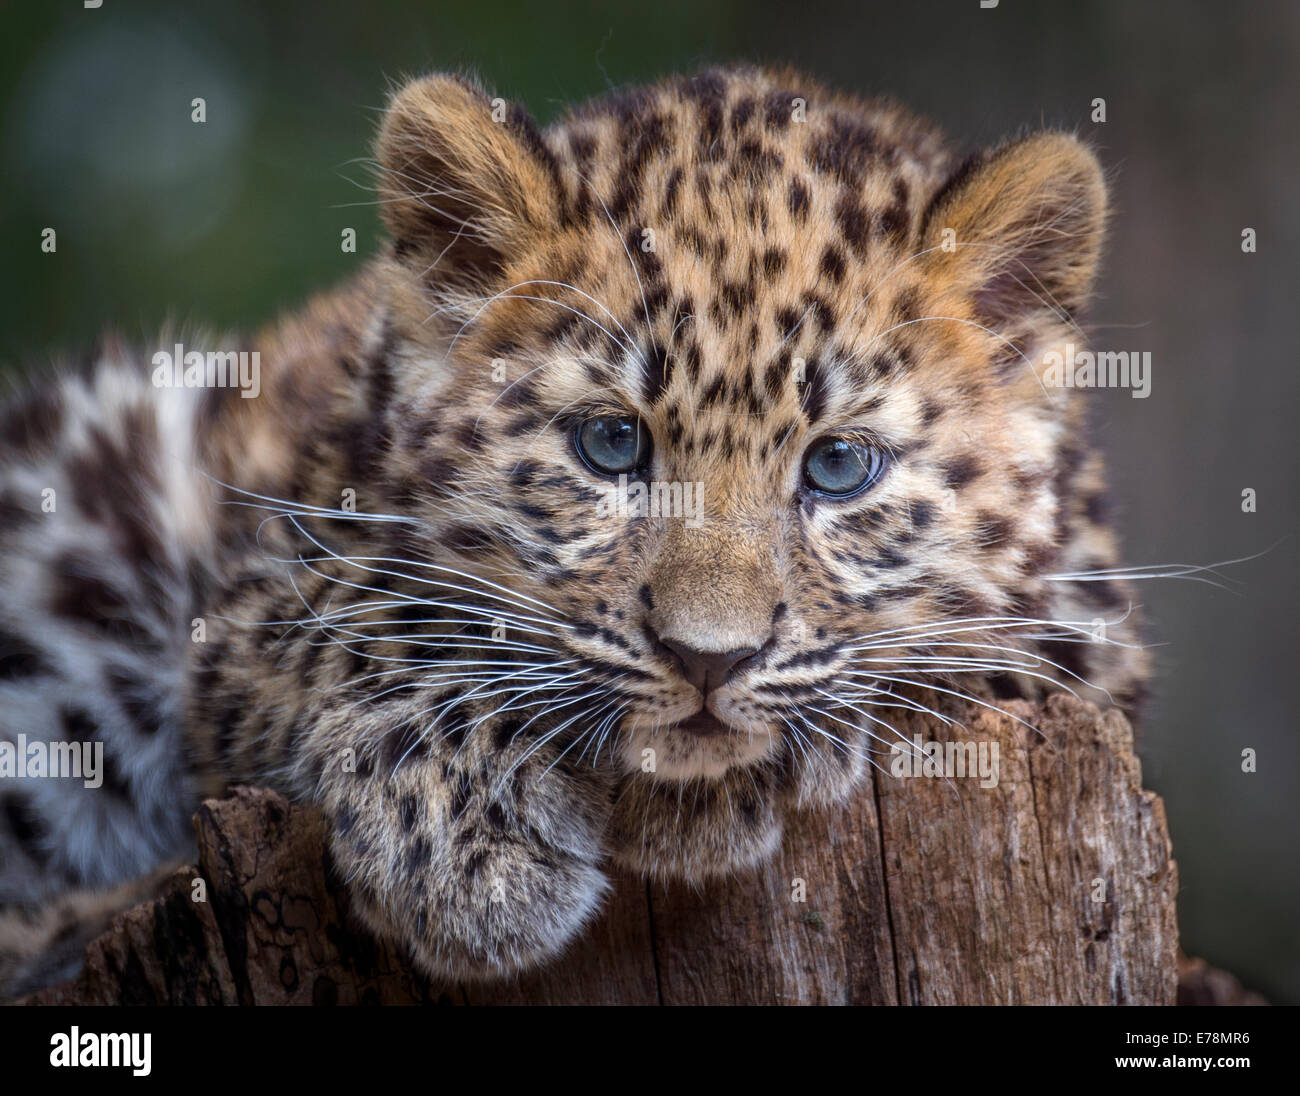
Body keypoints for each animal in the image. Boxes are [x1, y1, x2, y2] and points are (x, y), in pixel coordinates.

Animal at [0, 64, 1147, 997]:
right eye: (610, 444)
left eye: (837, 467)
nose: (708, 660)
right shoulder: (244, 613)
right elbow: (365, 614)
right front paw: (463, 837)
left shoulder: (1097, 629)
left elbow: (979, 643)